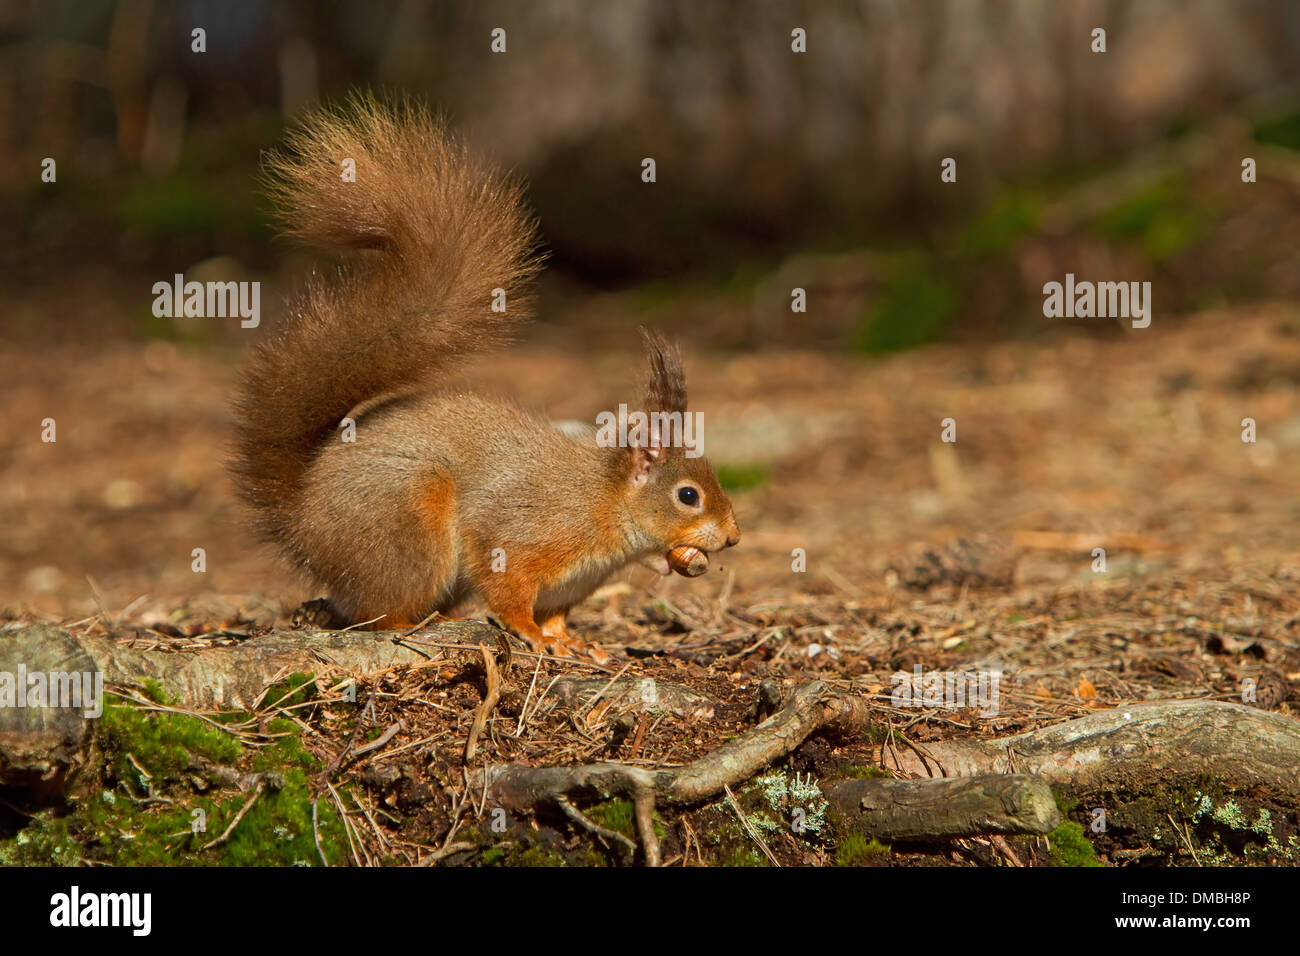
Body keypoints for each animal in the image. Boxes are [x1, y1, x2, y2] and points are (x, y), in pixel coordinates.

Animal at [230, 94, 740, 656]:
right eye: (688, 496)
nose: (733, 537)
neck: (604, 503)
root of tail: (301, 521)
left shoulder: (569, 586)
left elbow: (557, 614)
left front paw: (572, 642)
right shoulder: (524, 535)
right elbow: (507, 587)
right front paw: (529, 633)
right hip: (409, 529)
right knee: (374, 613)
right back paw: (413, 625)